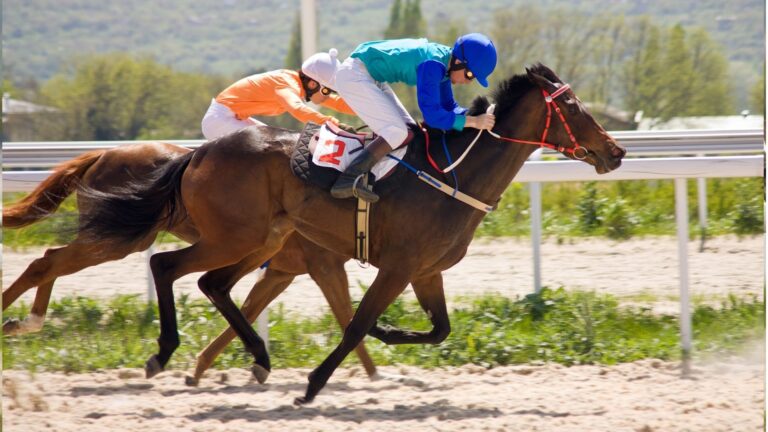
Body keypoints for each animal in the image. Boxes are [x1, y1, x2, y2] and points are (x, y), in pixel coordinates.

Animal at [2, 142, 383, 384]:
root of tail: (104, 153)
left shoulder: (279, 271)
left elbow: (247, 308)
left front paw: (203, 368)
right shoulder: (322, 266)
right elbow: (348, 317)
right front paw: (374, 374)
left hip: (125, 238)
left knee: (49, 259)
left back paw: (27, 321)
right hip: (119, 237)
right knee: (49, 262)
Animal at [78, 64, 626, 404]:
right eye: (573, 106)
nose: (616, 151)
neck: (454, 177)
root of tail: (199, 152)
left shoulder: (425, 271)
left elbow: (438, 329)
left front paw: (387, 334)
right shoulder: (397, 267)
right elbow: (357, 324)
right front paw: (313, 385)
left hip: (262, 239)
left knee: (213, 284)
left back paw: (257, 355)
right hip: (233, 236)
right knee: (165, 265)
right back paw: (165, 351)